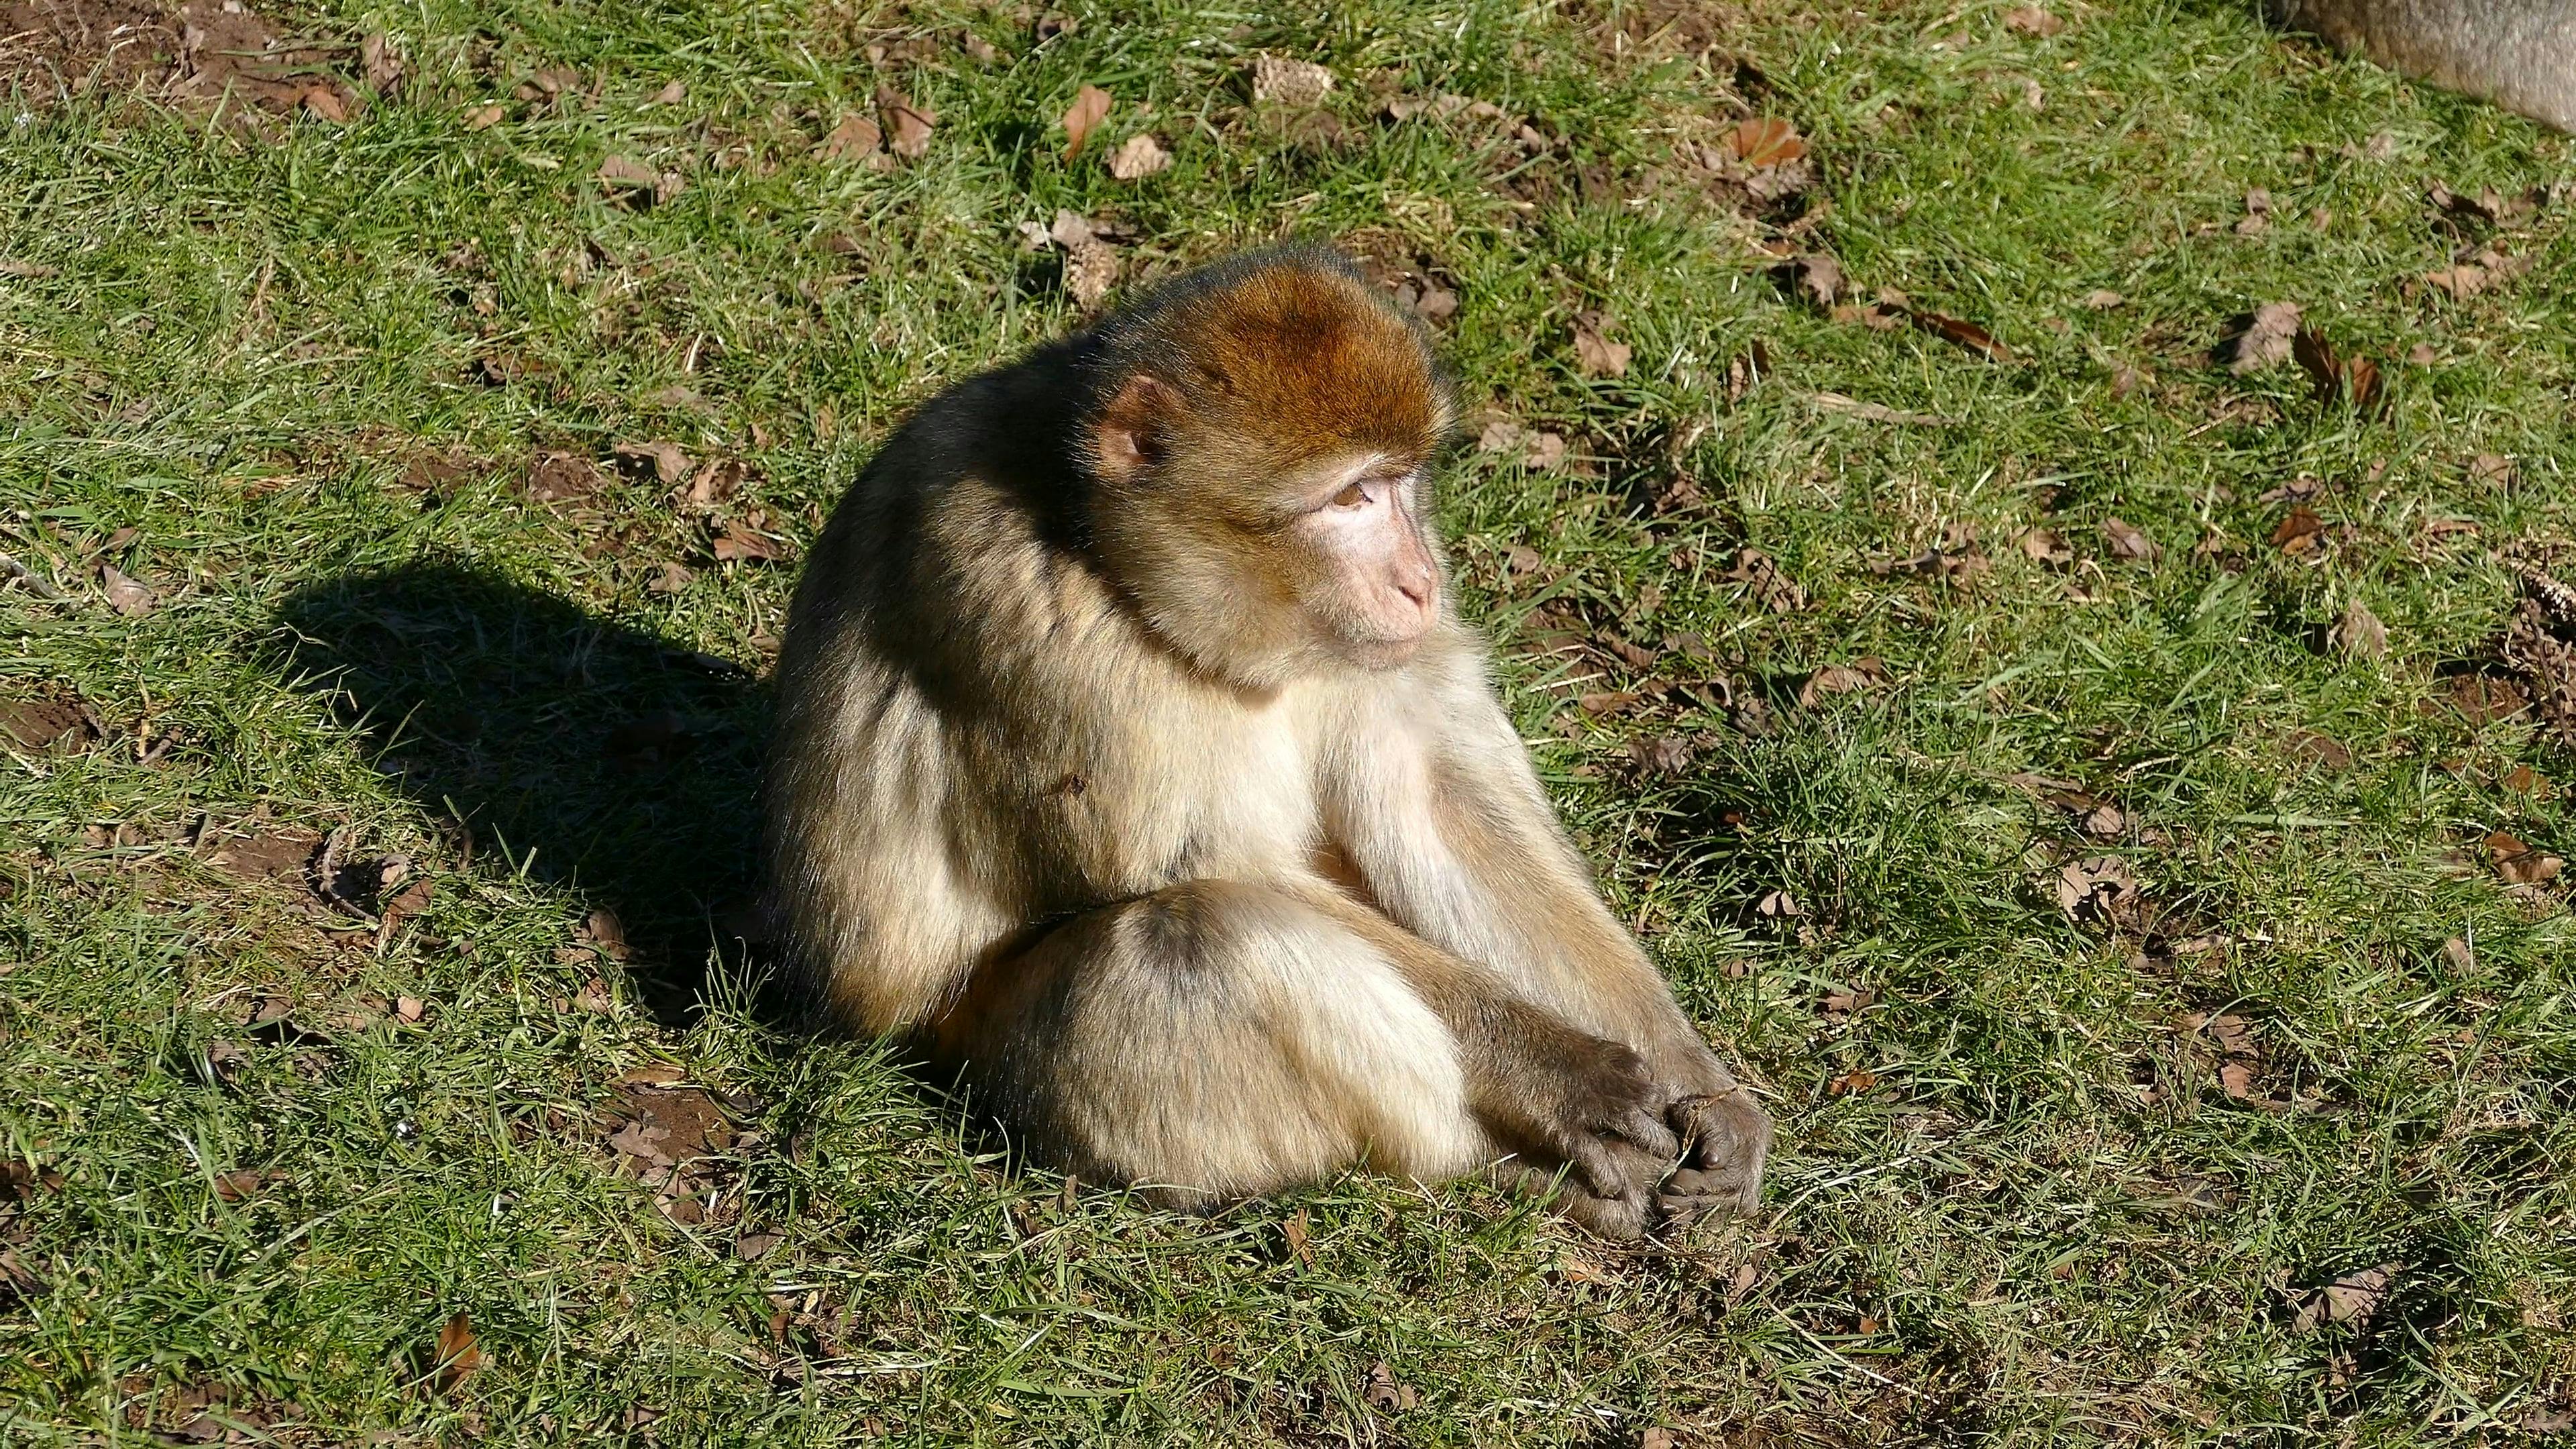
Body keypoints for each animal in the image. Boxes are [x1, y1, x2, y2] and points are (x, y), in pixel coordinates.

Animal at [763, 245, 1770, 1237]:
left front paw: (1701, 1087)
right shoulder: (1024, 614)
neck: (1111, 562)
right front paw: (1557, 1069)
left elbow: (1436, 803)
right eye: (1350, 498)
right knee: (1198, 936)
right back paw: (1501, 1172)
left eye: (1399, 484)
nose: (1421, 579)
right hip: (988, 1054)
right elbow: (1209, 870)